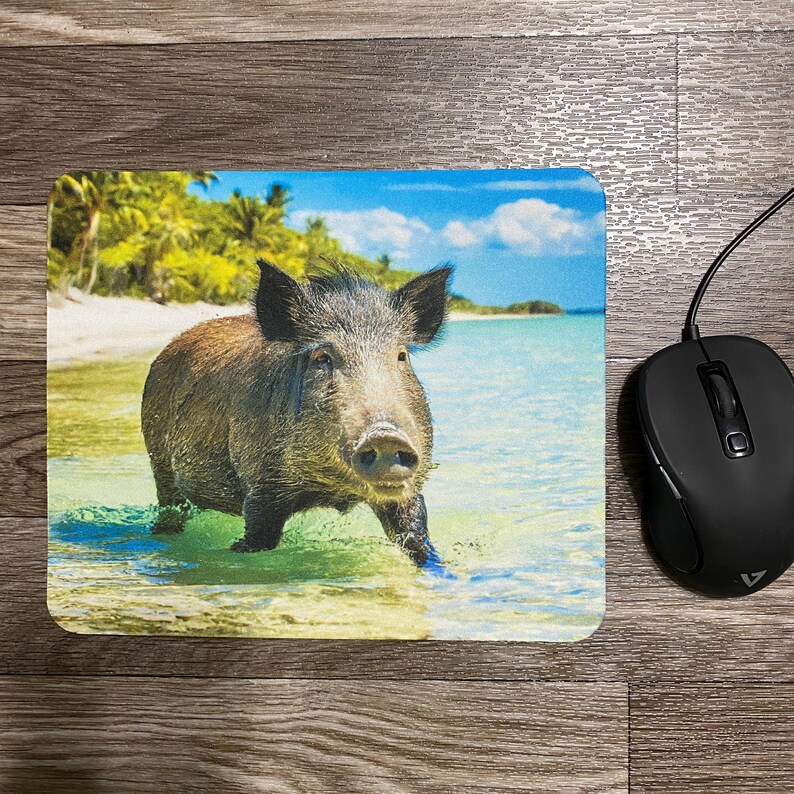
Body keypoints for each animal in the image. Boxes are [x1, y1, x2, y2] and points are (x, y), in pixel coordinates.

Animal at [141, 258, 452, 567]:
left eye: (401, 355)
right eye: (322, 357)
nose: (385, 436)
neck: (331, 488)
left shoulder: (408, 493)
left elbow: (416, 535)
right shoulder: (260, 487)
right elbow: (258, 539)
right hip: (159, 462)